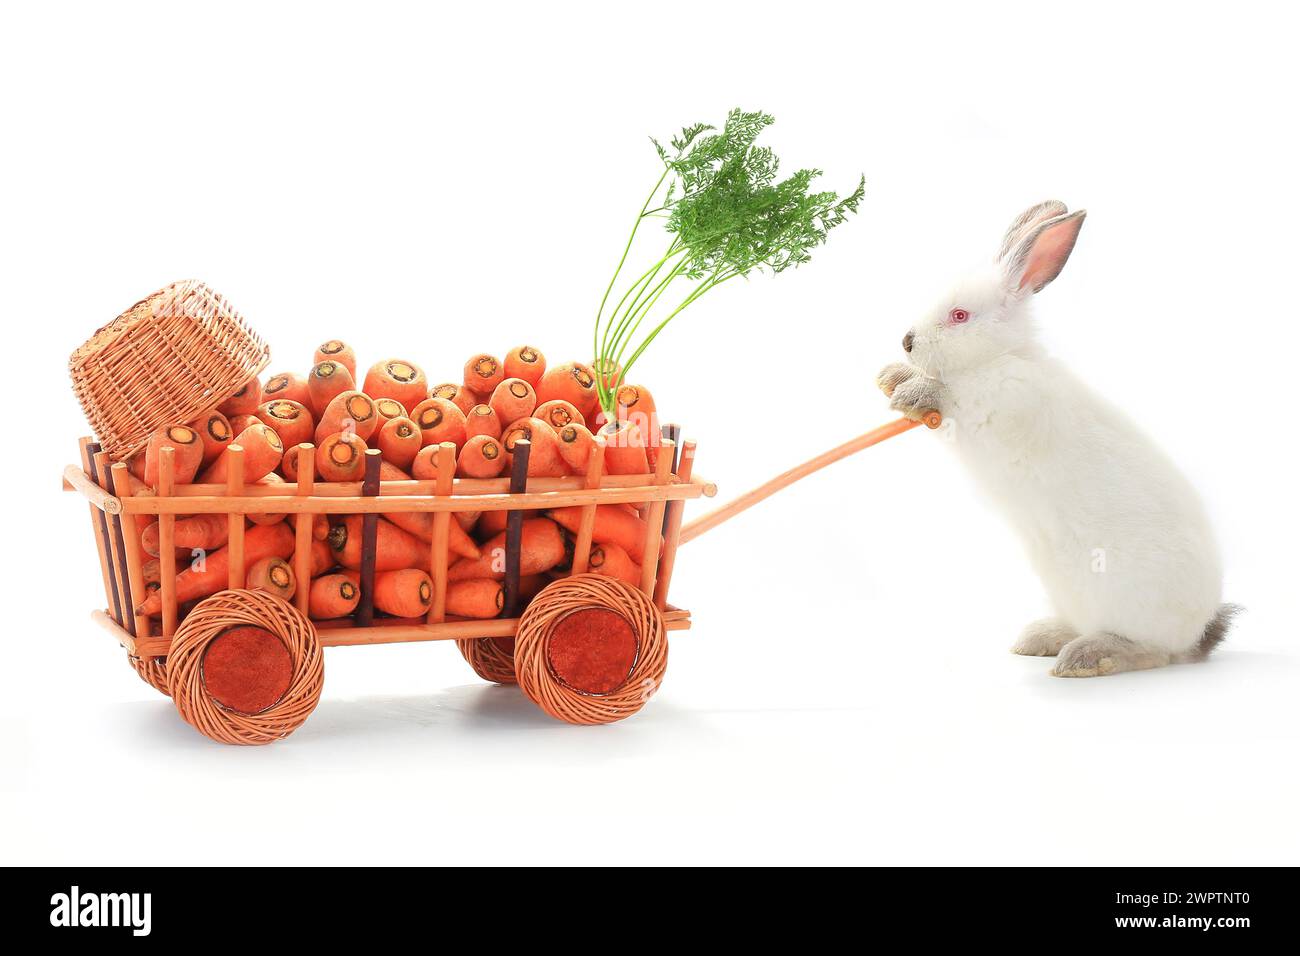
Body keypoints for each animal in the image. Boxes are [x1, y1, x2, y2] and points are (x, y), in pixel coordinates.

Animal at [876, 201, 1235, 677]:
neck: (1001, 357)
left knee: (1153, 652)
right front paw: (893, 377)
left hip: (1136, 613)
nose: (907, 342)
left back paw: (1087, 657)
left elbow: (959, 397)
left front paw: (916, 391)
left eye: (959, 316)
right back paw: (1040, 638)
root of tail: (1197, 632)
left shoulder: (1005, 404)